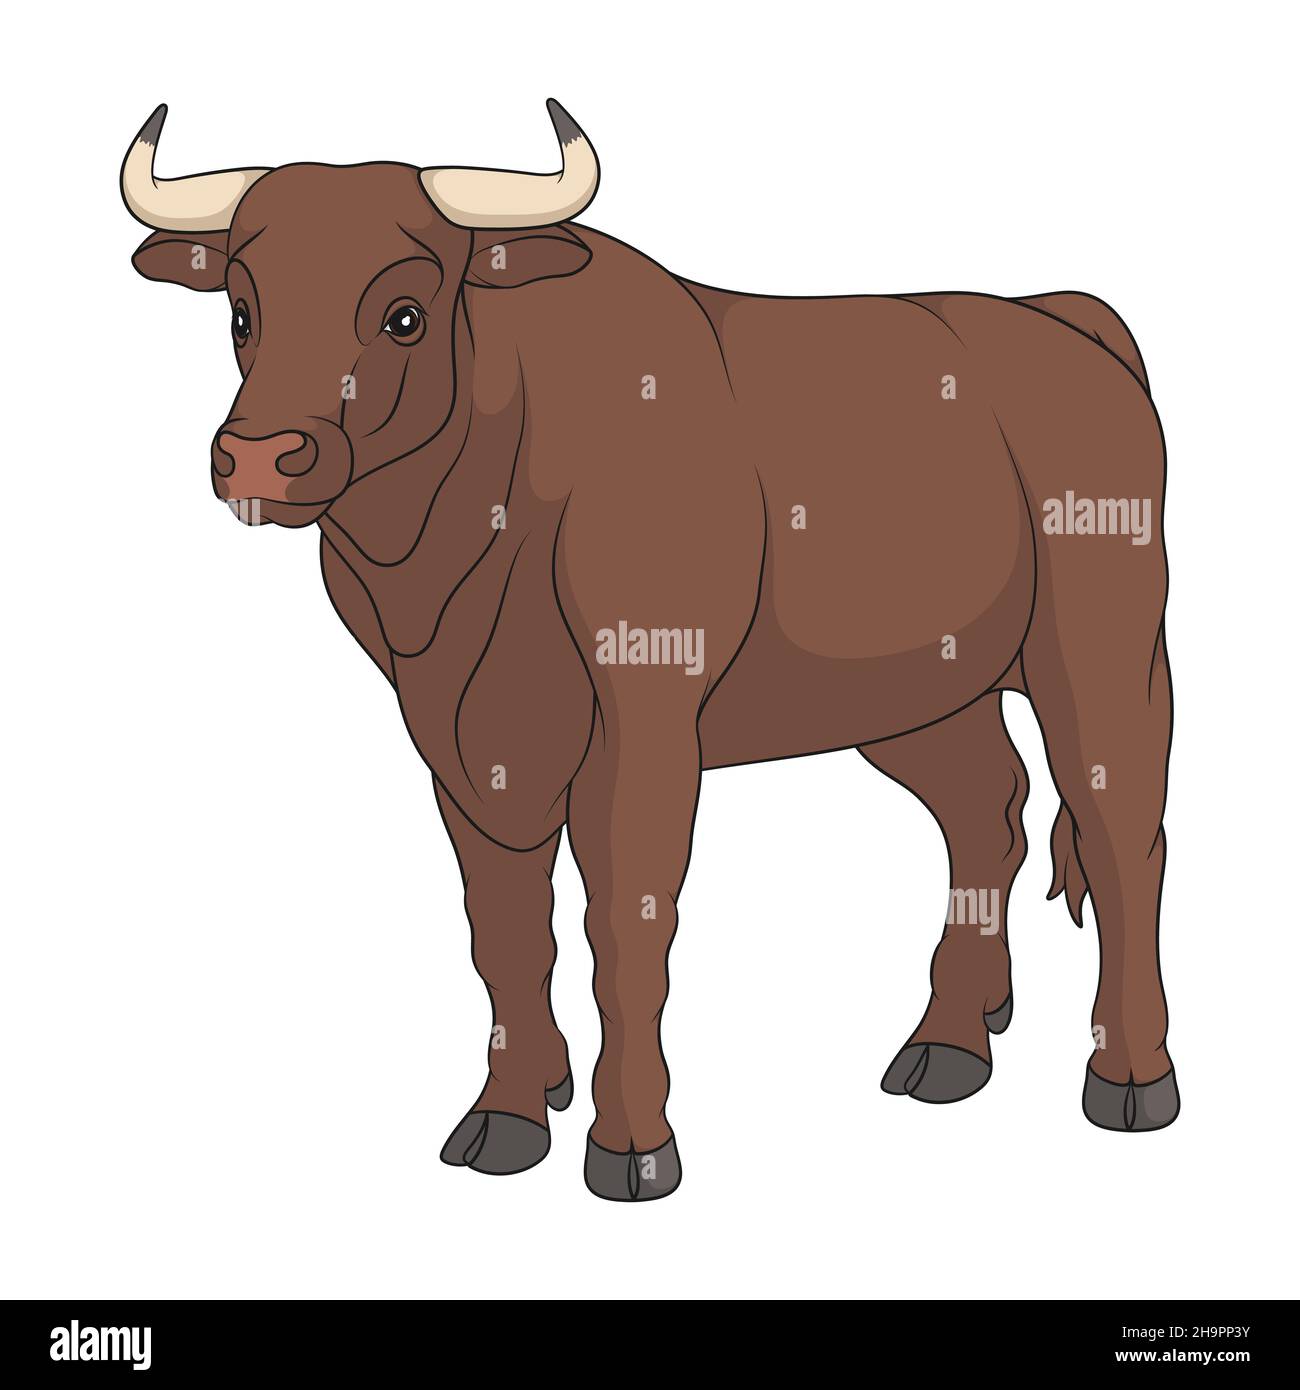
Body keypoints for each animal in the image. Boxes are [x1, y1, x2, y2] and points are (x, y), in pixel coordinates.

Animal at [121, 100, 1177, 1201]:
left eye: (404, 313)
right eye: (241, 313)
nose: (256, 459)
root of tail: (1059, 322)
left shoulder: (644, 723)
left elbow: (624, 923)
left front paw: (630, 1143)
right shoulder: (461, 743)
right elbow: (505, 929)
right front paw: (510, 1114)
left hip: (1101, 653)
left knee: (1121, 829)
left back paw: (1130, 1078)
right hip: (922, 697)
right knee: (986, 814)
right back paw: (949, 1047)